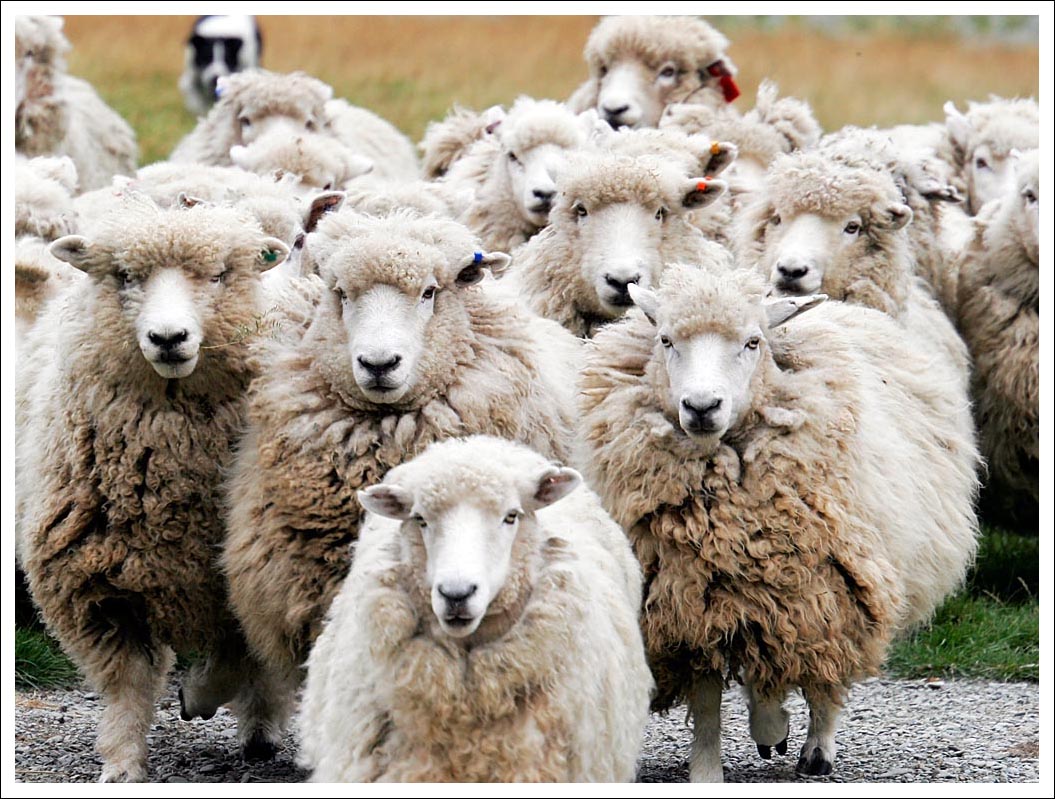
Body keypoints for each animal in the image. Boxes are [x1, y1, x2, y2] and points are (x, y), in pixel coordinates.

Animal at [17, 196, 295, 781]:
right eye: (125, 276)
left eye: (218, 275)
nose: (168, 339)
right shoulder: (97, 589)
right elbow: (127, 684)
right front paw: (122, 763)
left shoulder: (237, 580)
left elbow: (234, 658)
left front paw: (199, 695)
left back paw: (260, 730)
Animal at [579, 262, 979, 780]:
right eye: (665, 339)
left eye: (753, 342)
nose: (702, 407)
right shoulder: (689, 598)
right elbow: (707, 699)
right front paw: (708, 769)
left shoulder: (811, 587)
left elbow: (787, 674)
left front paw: (776, 728)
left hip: (841, 586)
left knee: (824, 674)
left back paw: (814, 749)